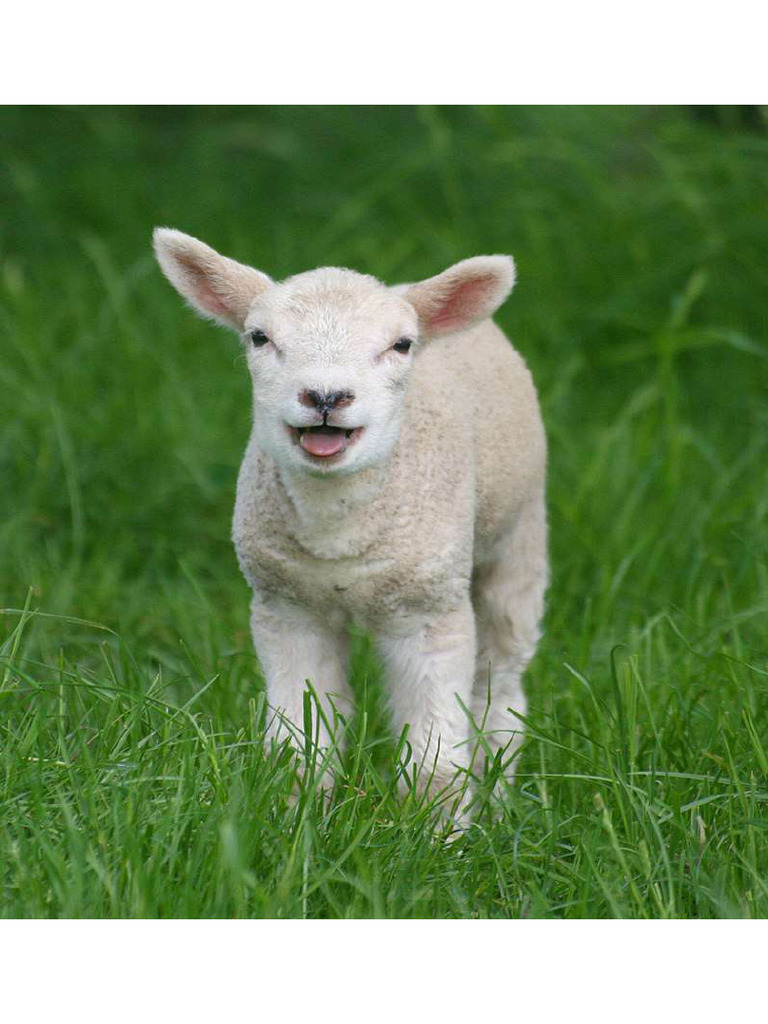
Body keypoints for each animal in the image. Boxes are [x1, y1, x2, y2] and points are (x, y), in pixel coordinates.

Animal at [153, 228, 548, 819]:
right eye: (259, 337)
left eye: (401, 345)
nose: (325, 397)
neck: (336, 536)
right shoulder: (288, 607)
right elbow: (299, 748)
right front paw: (292, 820)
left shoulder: (430, 612)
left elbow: (435, 764)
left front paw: (439, 834)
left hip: (518, 537)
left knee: (500, 687)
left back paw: (498, 799)